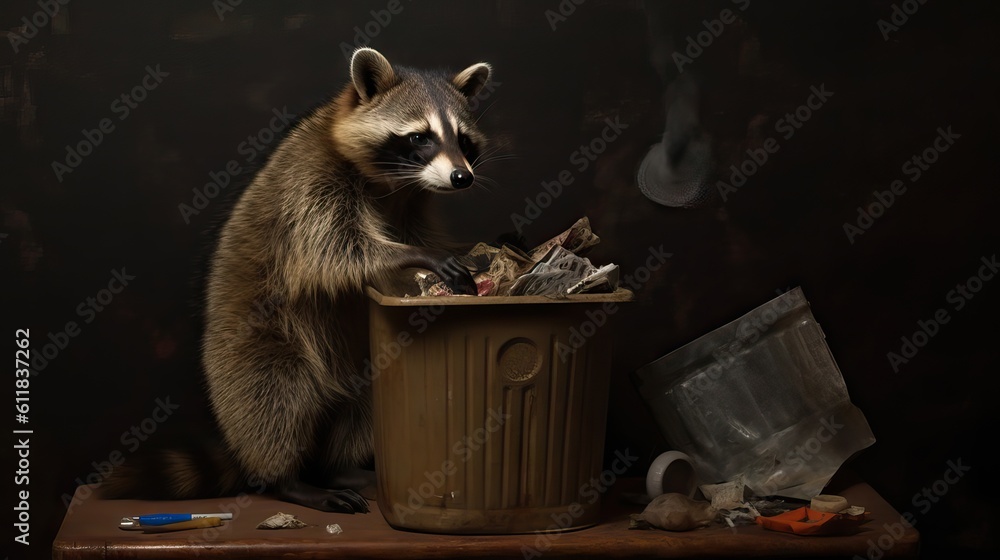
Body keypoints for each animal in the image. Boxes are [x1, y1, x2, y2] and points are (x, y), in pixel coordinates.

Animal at [102, 48, 492, 513]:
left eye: (463, 140)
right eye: (420, 137)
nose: (462, 177)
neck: (393, 183)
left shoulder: (411, 205)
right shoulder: (310, 187)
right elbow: (334, 250)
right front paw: (413, 255)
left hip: (361, 353)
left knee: (364, 402)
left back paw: (337, 466)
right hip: (256, 345)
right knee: (276, 401)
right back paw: (286, 479)